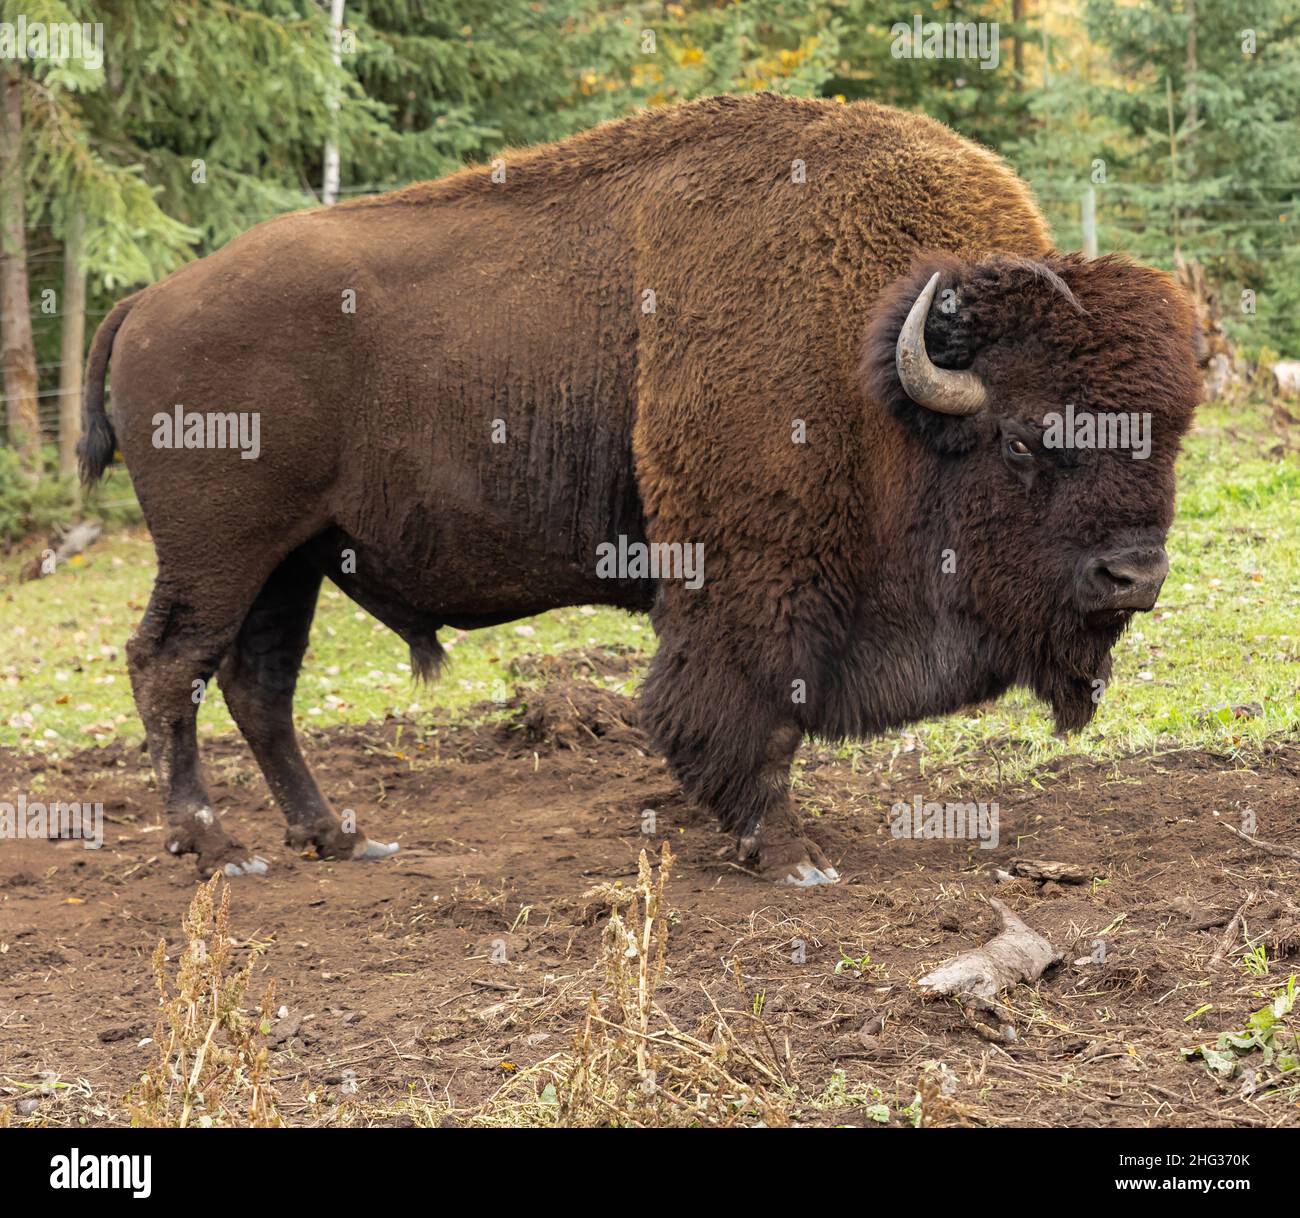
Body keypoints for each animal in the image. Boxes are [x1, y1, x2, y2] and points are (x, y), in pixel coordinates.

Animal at [79, 94, 1201, 885]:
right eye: (1022, 440)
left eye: (1174, 436)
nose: (1133, 577)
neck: (877, 368)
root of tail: (149, 300)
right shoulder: (753, 579)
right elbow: (757, 704)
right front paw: (785, 852)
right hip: (219, 553)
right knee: (169, 666)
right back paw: (217, 849)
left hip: (293, 559)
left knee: (255, 686)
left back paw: (336, 837)